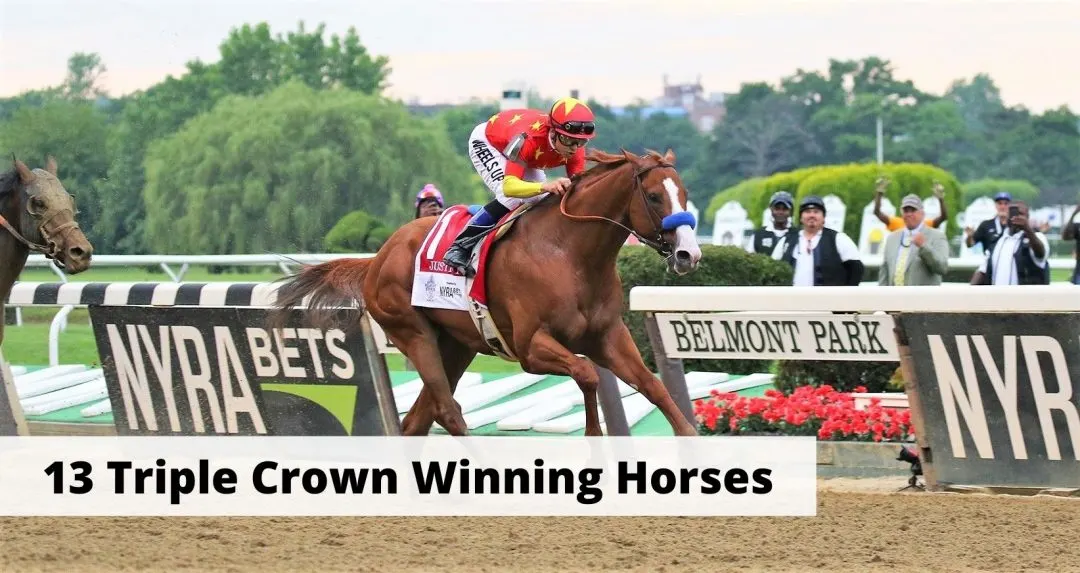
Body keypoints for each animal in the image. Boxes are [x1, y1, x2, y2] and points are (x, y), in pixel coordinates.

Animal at [271, 148, 702, 437]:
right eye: (653, 196)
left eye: (684, 193)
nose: (689, 254)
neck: (568, 254)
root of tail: (378, 257)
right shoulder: (531, 348)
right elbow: (587, 375)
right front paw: (594, 438)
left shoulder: (607, 336)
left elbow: (653, 386)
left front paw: (689, 439)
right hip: (413, 334)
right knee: (447, 411)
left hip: (456, 346)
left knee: (419, 419)